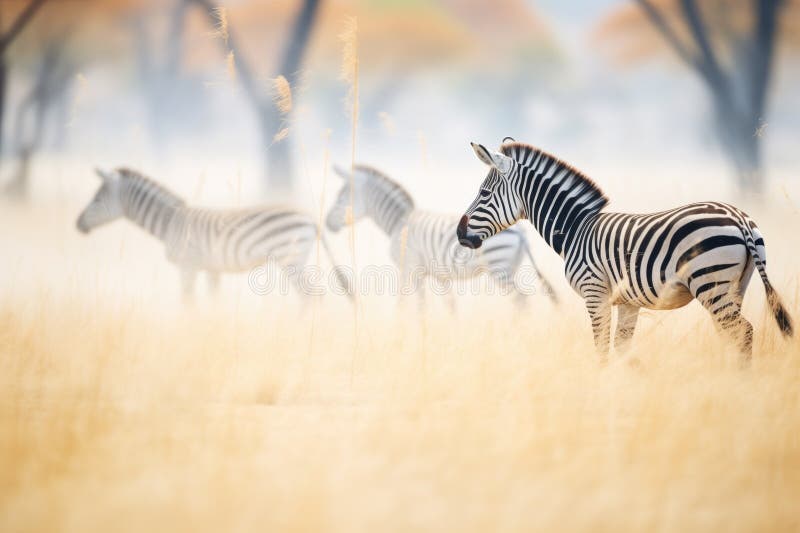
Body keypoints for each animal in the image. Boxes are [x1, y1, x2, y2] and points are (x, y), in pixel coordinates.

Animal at [76, 167, 350, 300]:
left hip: (289, 258)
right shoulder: (211, 269)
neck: (170, 224)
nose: (77, 224)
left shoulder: (188, 265)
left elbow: (188, 301)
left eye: (97, 199)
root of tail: (311, 218)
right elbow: (212, 302)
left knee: (310, 294)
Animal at [325, 164, 557, 303]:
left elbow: (409, 303)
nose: (327, 223)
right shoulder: (439, 276)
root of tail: (521, 232)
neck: (399, 222)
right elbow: (446, 306)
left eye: (341, 197)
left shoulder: (409, 268)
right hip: (510, 267)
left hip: (499, 267)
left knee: (520, 299)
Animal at [456, 139, 793, 361]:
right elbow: (621, 349)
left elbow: (601, 348)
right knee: (735, 334)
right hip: (735, 285)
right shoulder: (628, 303)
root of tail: (740, 218)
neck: (576, 230)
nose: (460, 234)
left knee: (742, 332)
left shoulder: (595, 295)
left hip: (711, 283)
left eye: (483, 194)